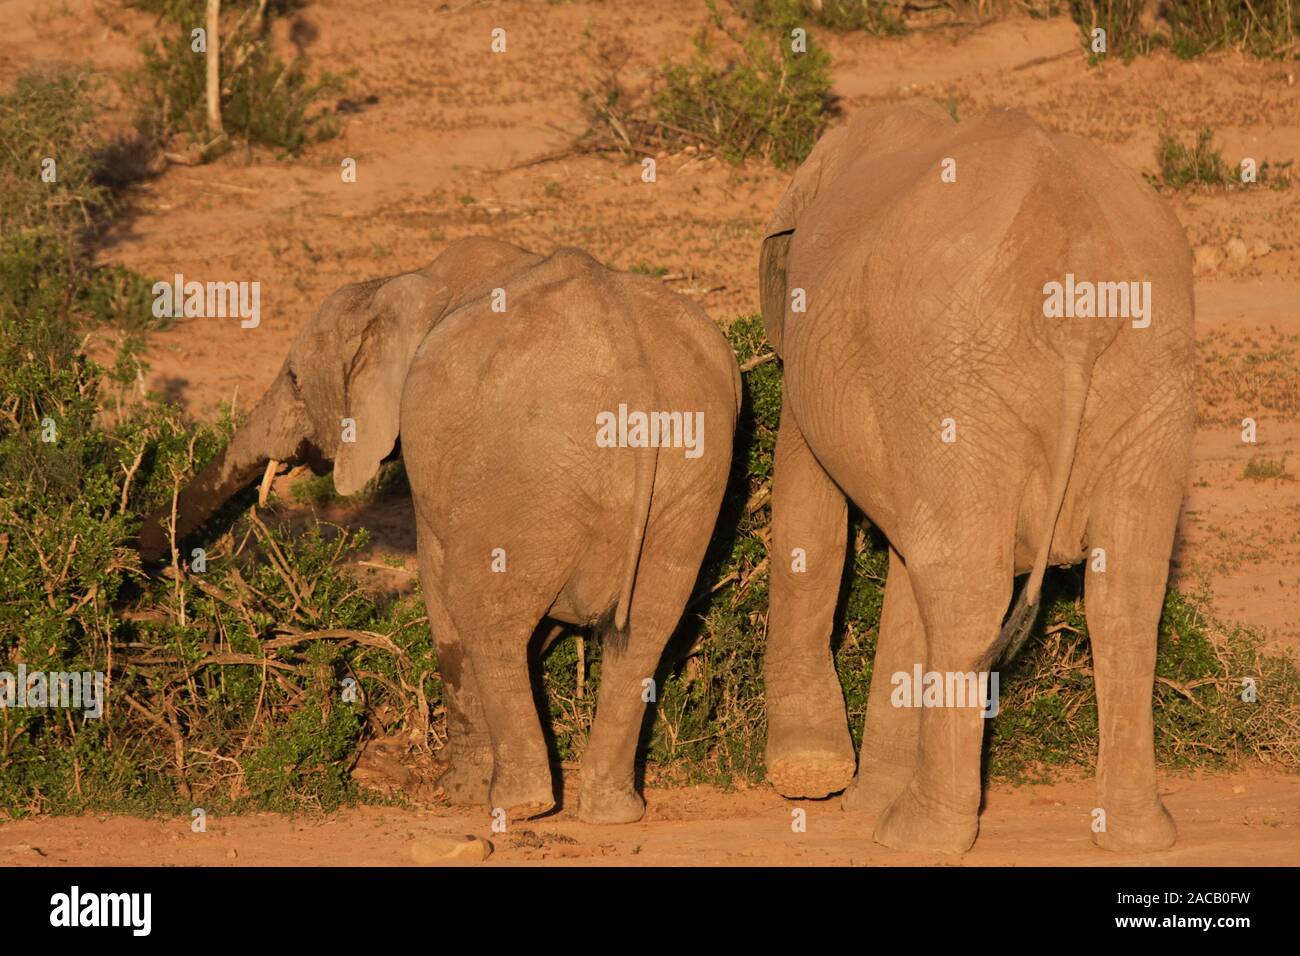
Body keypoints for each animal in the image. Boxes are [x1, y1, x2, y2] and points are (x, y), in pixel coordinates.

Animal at [139, 238, 741, 825]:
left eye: (293, 379)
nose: (144, 563)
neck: (400, 283)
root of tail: (627, 356)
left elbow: (440, 587)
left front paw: (459, 794)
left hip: (526, 470)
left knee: (485, 617)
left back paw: (516, 806)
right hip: (690, 475)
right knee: (646, 632)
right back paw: (611, 813)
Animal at [758, 100, 1194, 853]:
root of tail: (1076, 247)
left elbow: (811, 518)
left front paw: (815, 782)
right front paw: (854, 796)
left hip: (964, 373)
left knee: (965, 585)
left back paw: (916, 837)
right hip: (1142, 373)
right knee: (1125, 586)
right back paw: (1138, 837)